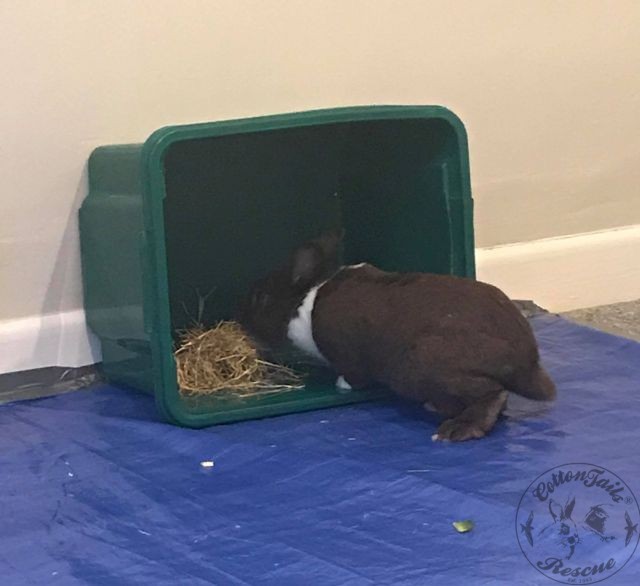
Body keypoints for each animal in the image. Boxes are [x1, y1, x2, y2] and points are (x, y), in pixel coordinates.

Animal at [240, 230, 556, 442]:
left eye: (261, 298)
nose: (239, 317)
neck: (305, 300)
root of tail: (527, 364)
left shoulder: (347, 355)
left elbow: (354, 376)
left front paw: (342, 385)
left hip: (425, 365)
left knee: (493, 394)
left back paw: (454, 429)